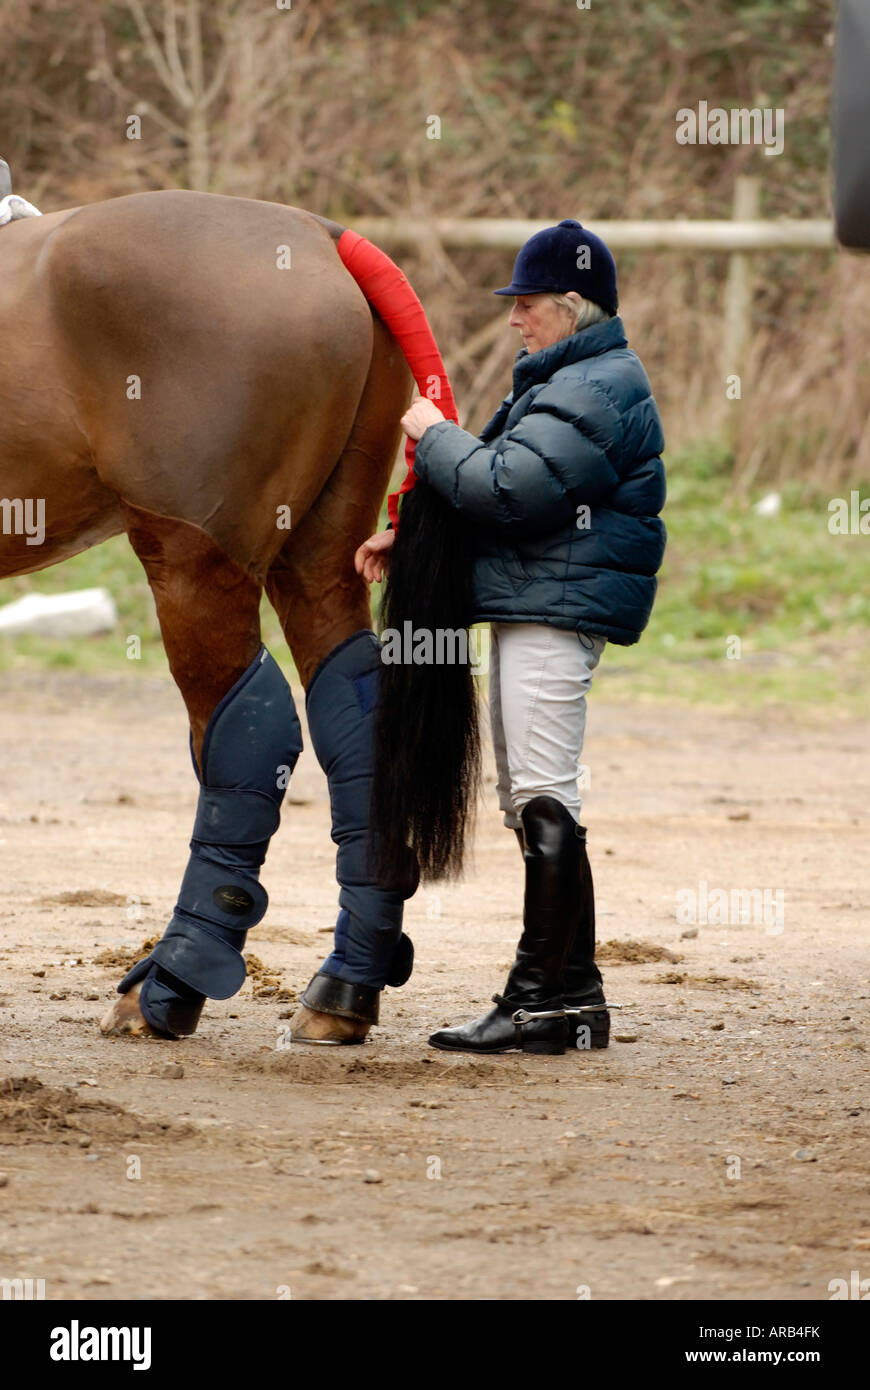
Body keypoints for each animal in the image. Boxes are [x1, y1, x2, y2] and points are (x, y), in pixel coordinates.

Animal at [0, 183, 481, 1044]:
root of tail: (323, 236)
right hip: (319, 556)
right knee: (353, 718)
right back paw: (343, 990)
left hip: (195, 562)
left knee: (243, 736)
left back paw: (166, 988)